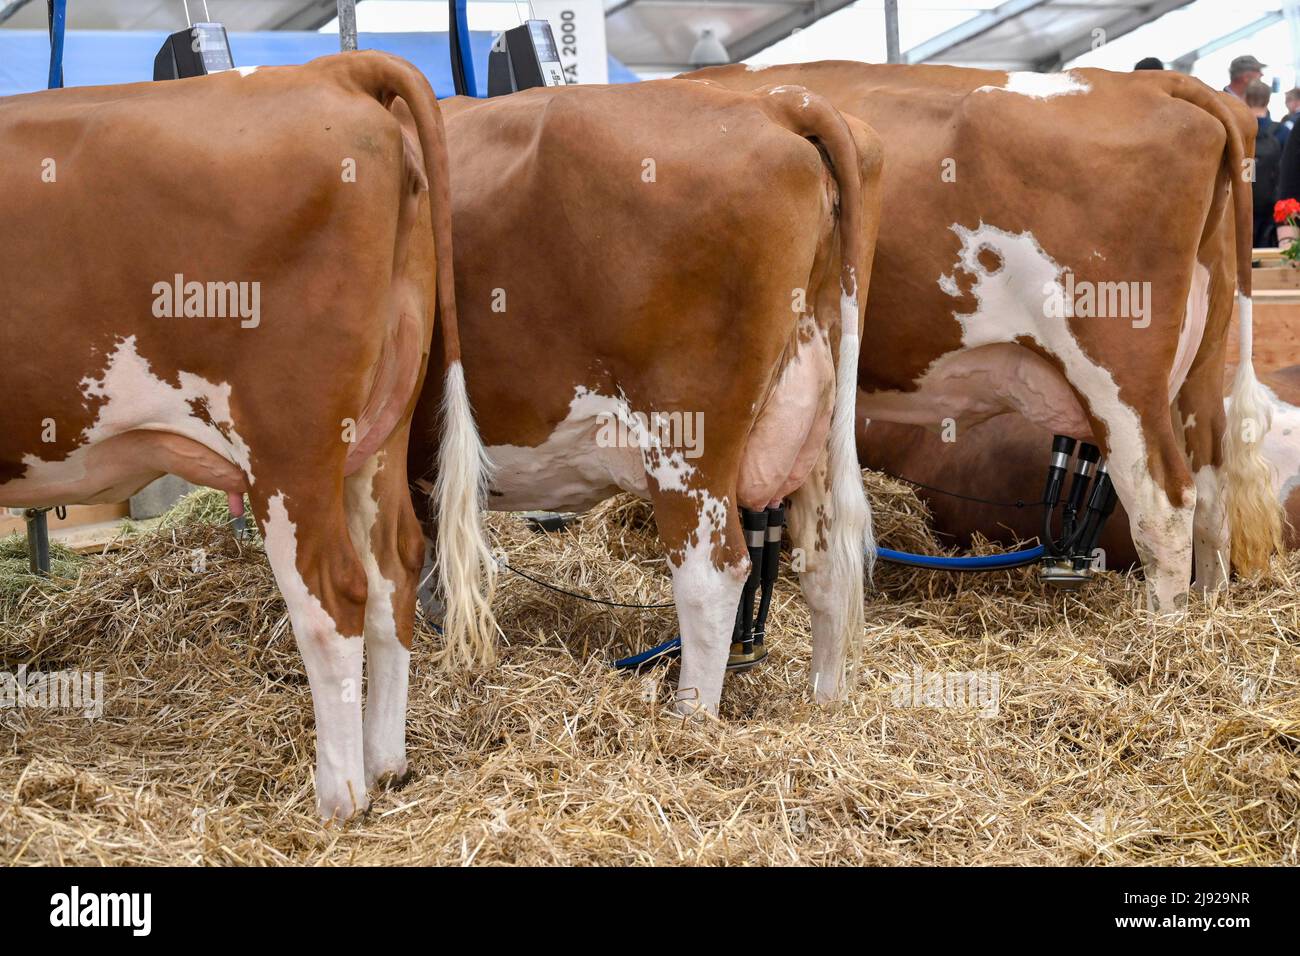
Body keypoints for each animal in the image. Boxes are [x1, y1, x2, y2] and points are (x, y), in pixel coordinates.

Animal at [0, 52, 496, 821]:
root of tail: (333, 69)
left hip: (287, 441)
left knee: (334, 594)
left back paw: (340, 797)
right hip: (380, 427)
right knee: (395, 570)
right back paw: (386, 765)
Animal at [404, 80, 883, 715]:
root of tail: (773, 100)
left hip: (687, 439)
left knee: (713, 573)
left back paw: (690, 716)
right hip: (818, 418)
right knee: (827, 564)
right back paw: (824, 704)